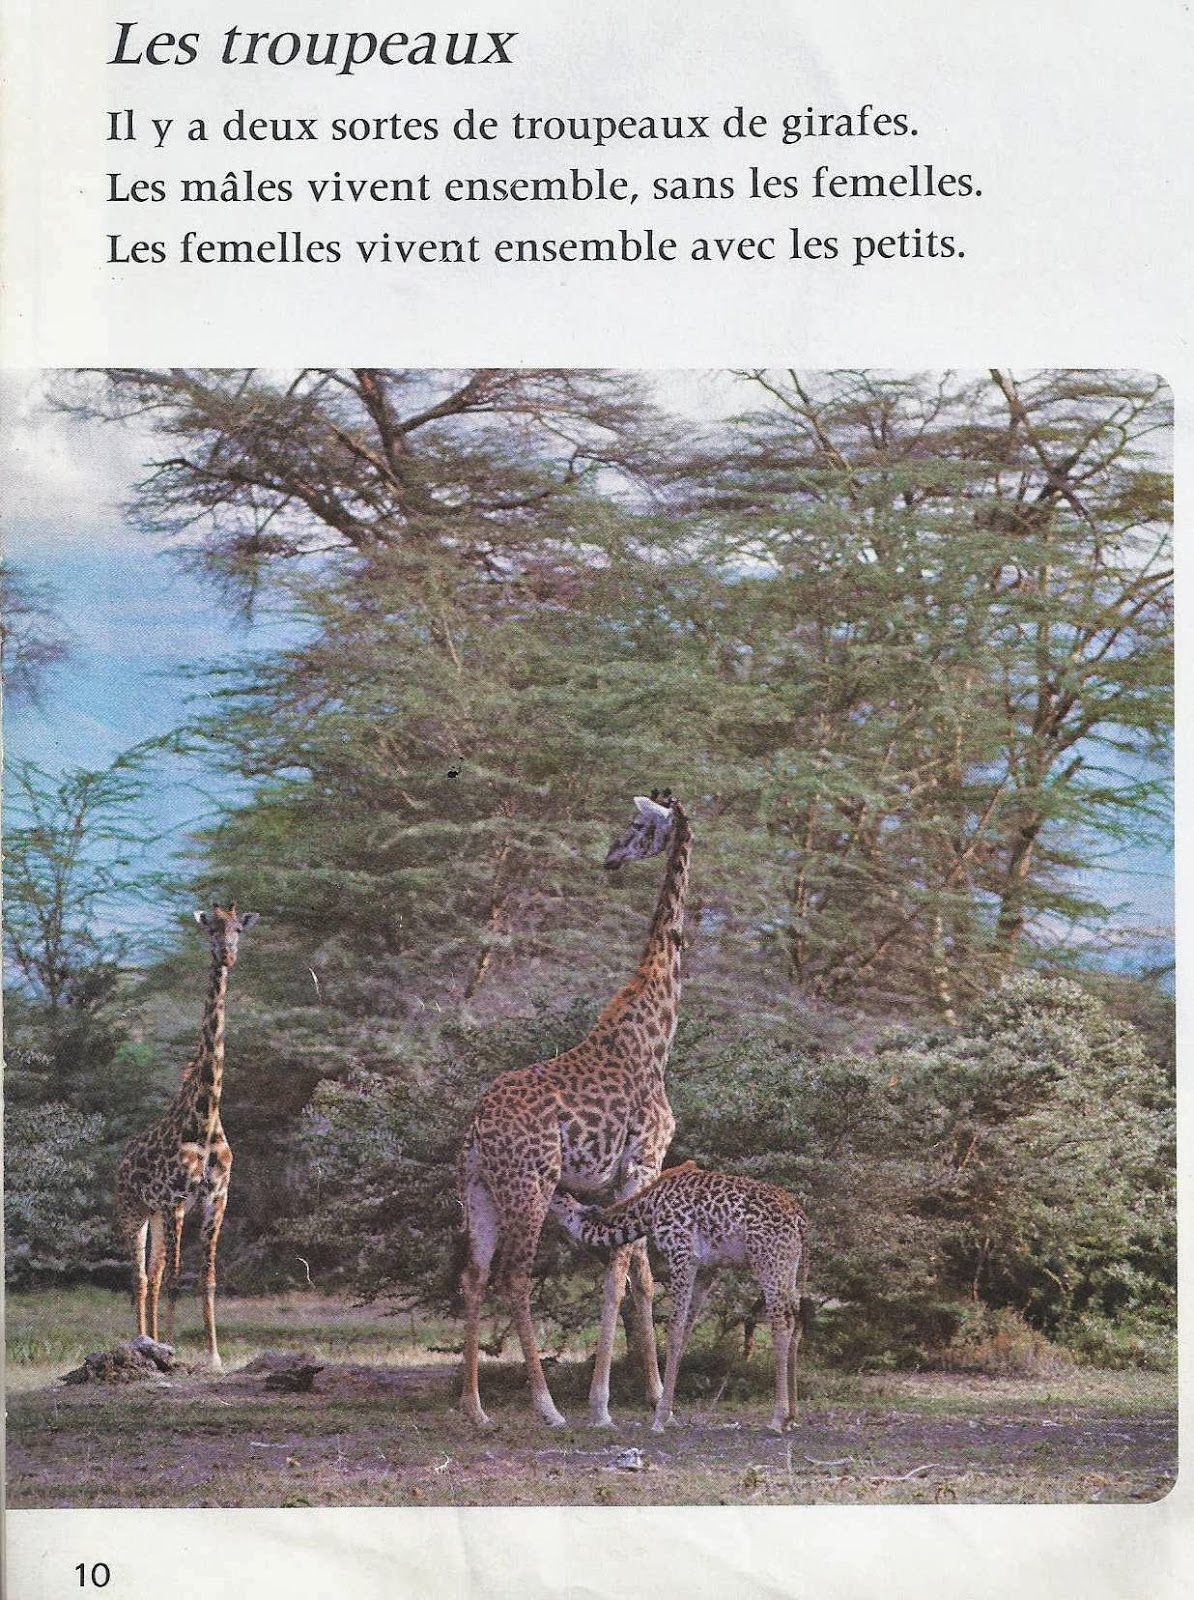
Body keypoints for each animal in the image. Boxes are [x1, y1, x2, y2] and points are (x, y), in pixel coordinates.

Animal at [114, 904, 259, 1369]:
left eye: (238, 930)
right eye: (211, 928)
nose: (227, 955)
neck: (206, 1118)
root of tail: (120, 1163)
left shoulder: (216, 1198)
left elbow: (206, 1280)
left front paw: (213, 1356)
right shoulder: (177, 1200)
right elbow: (179, 1279)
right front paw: (174, 1351)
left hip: (157, 1216)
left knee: (155, 1275)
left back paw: (152, 1340)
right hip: (135, 1211)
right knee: (141, 1279)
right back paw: (142, 1342)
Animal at [458, 790, 692, 1427]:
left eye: (637, 824)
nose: (611, 857)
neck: (656, 1032)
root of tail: (477, 1127)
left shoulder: (633, 1173)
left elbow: (640, 1277)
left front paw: (654, 1394)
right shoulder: (643, 1160)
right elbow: (619, 1273)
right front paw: (603, 1404)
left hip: (479, 1187)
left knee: (475, 1273)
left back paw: (474, 1407)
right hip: (531, 1184)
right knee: (513, 1275)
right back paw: (547, 1407)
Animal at [550, 1161, 811, 1434]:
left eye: (559, 1198)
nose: (546, 1197)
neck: (648, 1209)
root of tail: (801, 1221)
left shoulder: (682, 1254)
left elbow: (674, 1331)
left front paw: (660, 1418)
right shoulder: (707, 1268)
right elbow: (685, 1331)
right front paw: (666, 1412)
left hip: (768, 1261)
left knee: (781, 1324)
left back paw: (778, 1418)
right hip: (789, 1266)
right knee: (796, 1322)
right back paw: (791, 1416)